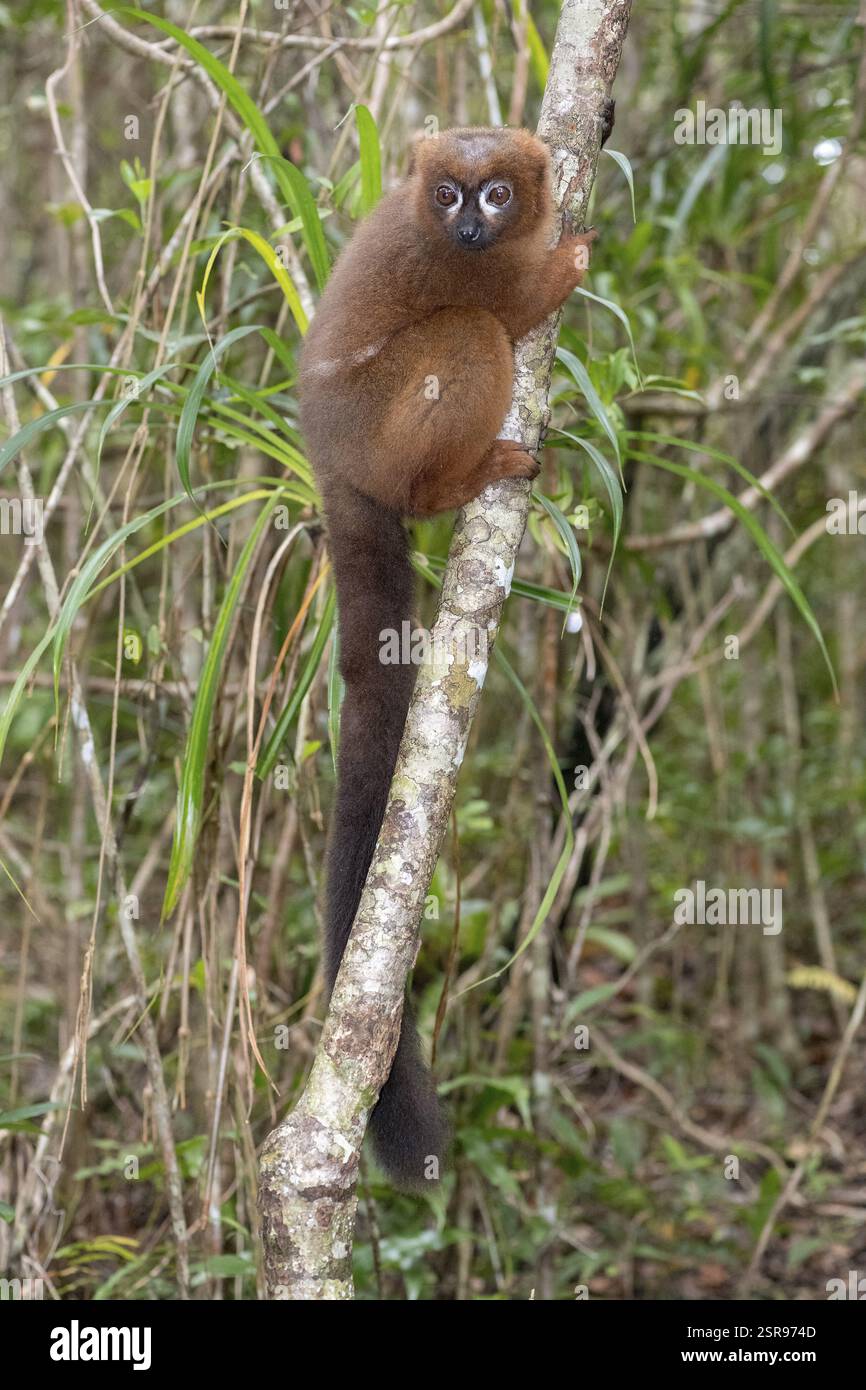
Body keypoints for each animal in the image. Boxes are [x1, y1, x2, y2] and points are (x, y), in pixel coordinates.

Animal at [298, 124, 603, 1189]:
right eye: (452, 197)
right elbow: (505, 307)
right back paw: (458, 482)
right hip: (383, 420)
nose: (472, 224)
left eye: (497, 192)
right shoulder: (443, 263)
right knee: (469, 333)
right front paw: (568, 260)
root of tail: (330, 458)